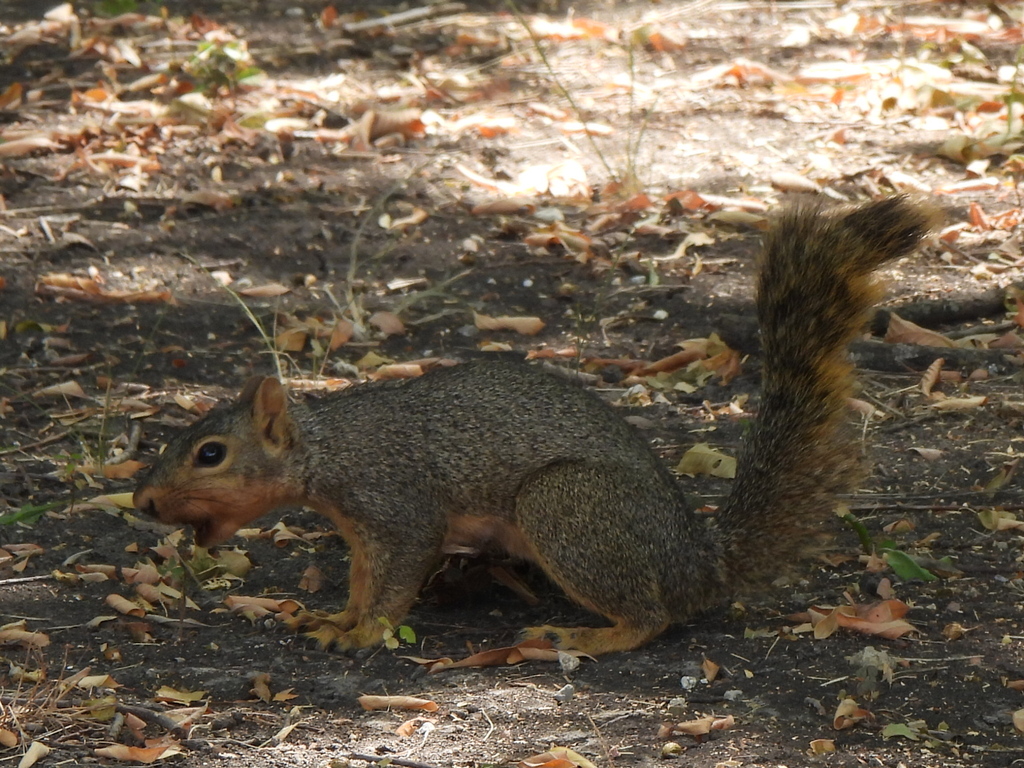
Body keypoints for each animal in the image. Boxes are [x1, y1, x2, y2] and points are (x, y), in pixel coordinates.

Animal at [133, 196, 938, 656]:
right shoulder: (361, 531)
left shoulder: (396, 505)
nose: (142, 503)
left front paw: (362, 634)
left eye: (210, 453)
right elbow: (363, 582)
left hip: (566, 509)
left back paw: (578, 633)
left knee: (651, 618)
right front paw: (336, 619)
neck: (328, 451)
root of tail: (697, 561)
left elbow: (393, 583)